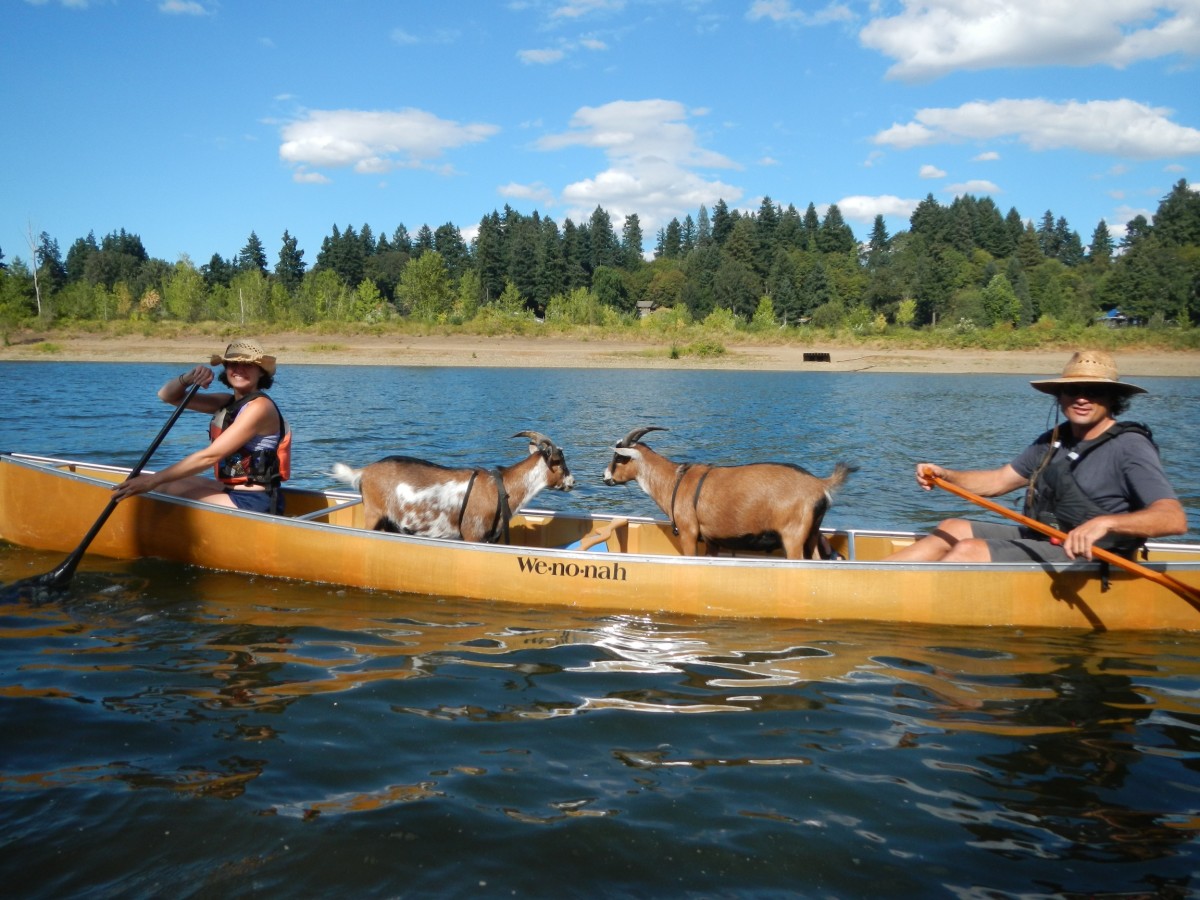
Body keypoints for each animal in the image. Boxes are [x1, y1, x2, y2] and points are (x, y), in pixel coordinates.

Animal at [331, 431, 574, 543]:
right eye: (561, 462)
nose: (573, 482)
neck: (503, 486)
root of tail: (363, 472)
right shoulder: (472, 535)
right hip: (373, 513)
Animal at [602, 426, 855, 560]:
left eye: (619, 458)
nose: (604, 477)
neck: (675, 481)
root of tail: (820, 484)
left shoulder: (688, 532)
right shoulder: (712, 539)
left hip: (793, 536)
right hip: (812, 533)